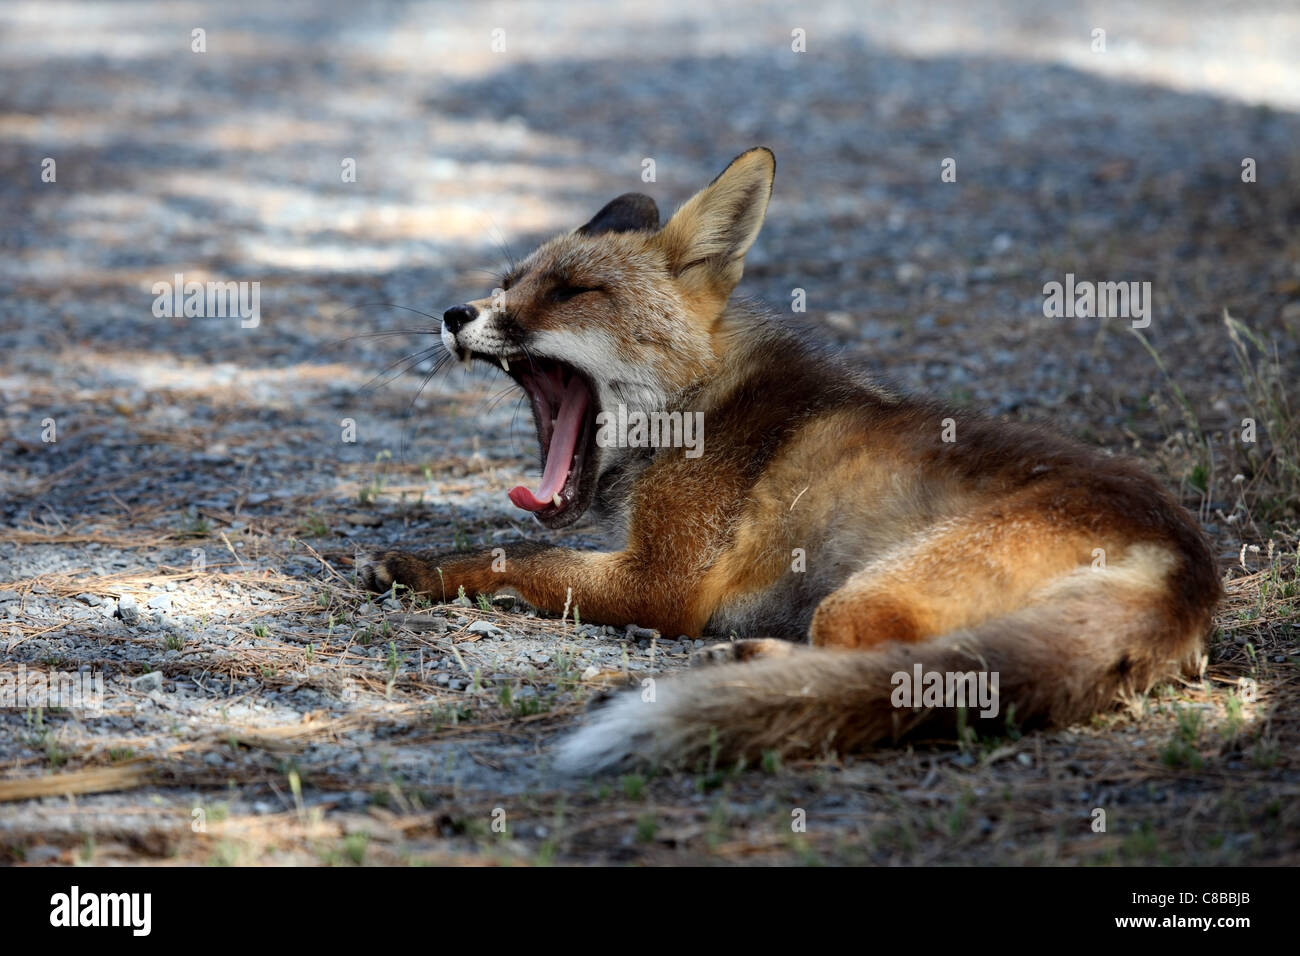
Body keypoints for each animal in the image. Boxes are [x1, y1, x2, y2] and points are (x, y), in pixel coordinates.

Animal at [357, 147, 1221, 773]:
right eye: (509, 282)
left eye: (572, 291)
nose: (455, 312)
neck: (698, 407)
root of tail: (1188, 562)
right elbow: (524, 547)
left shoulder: (662, 582)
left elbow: (520, 555)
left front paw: (418, 566)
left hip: (866, 595)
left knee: (898, 663)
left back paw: (747, 666)